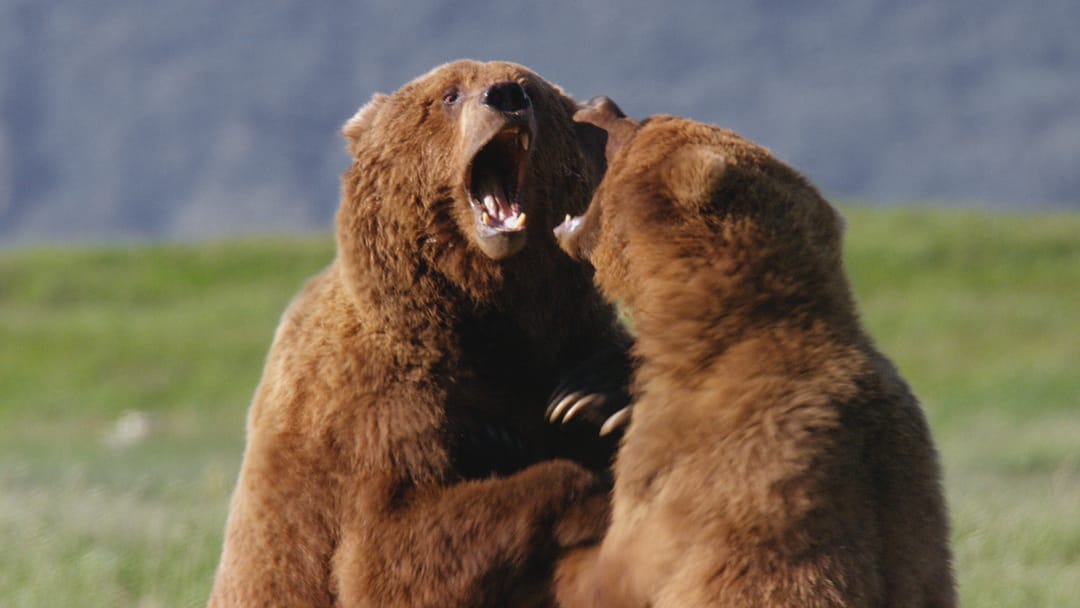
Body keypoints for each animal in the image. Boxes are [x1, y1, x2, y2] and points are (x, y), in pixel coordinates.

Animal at [208, 62, 632, 607]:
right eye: (449, 95)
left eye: (531, 88)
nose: (505, 96)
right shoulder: (373, 405)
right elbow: (388, 556)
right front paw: (510, 447)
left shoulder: (567, 335)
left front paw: (592, 396)